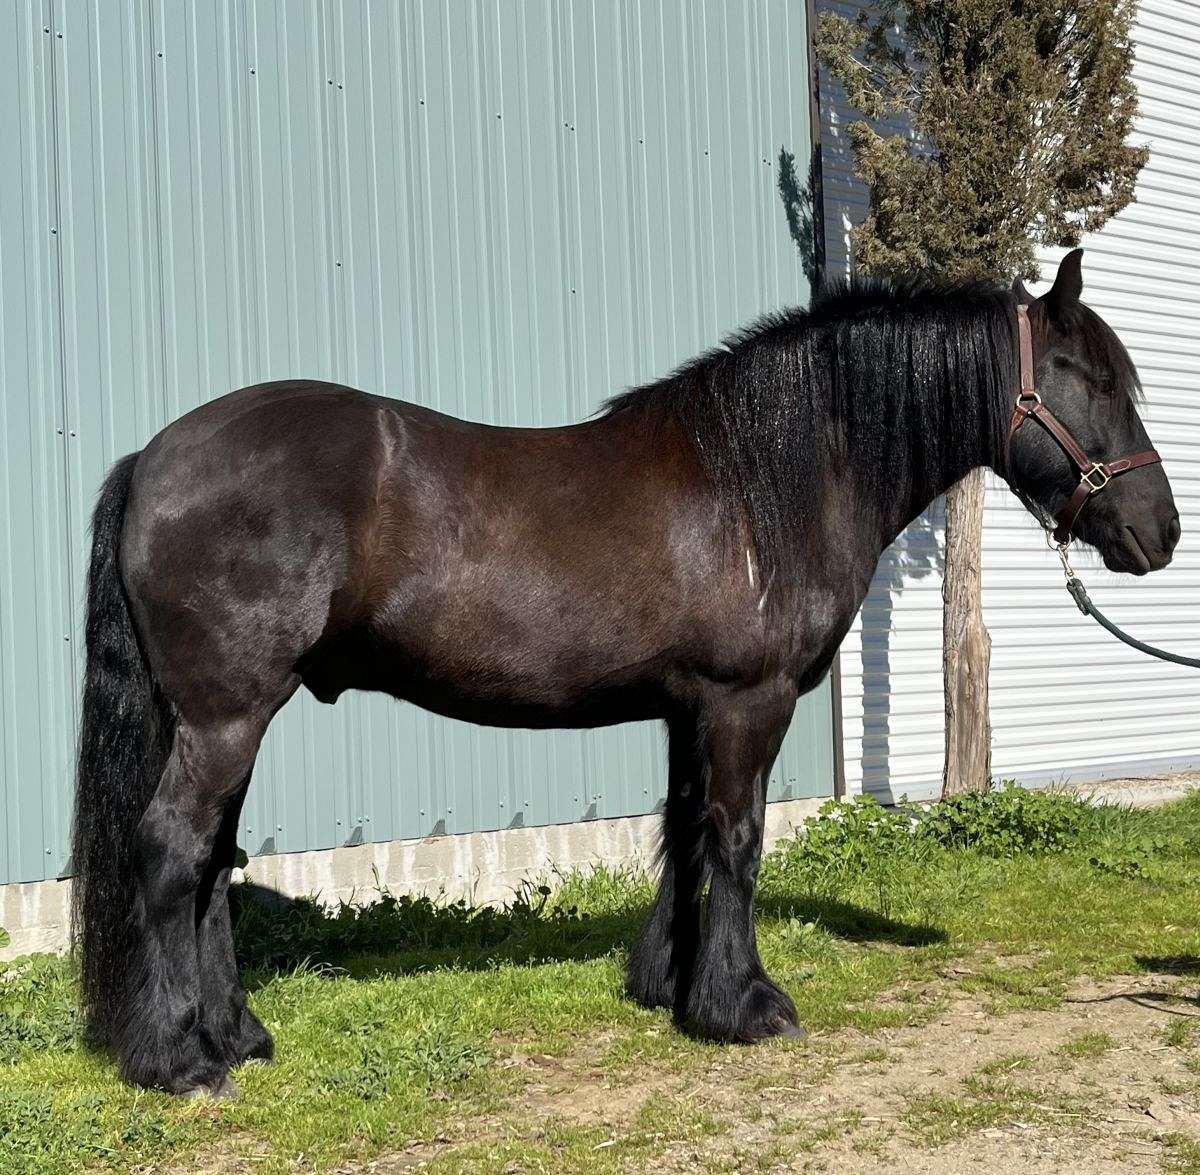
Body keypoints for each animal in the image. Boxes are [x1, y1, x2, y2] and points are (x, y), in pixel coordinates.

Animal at [72, 249, 1179, 1095]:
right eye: (1092, 378)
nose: (1160, 532)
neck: (763, 478)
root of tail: (152, 459)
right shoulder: (746, 702)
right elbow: (738, 840)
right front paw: (744, 1003)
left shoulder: (688, 706)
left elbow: (684, 832)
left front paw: (671, 982)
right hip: (226, 715)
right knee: (173, 849)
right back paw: (179, 1058)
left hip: (226, 716)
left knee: (213, 860)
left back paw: (238, 1035)